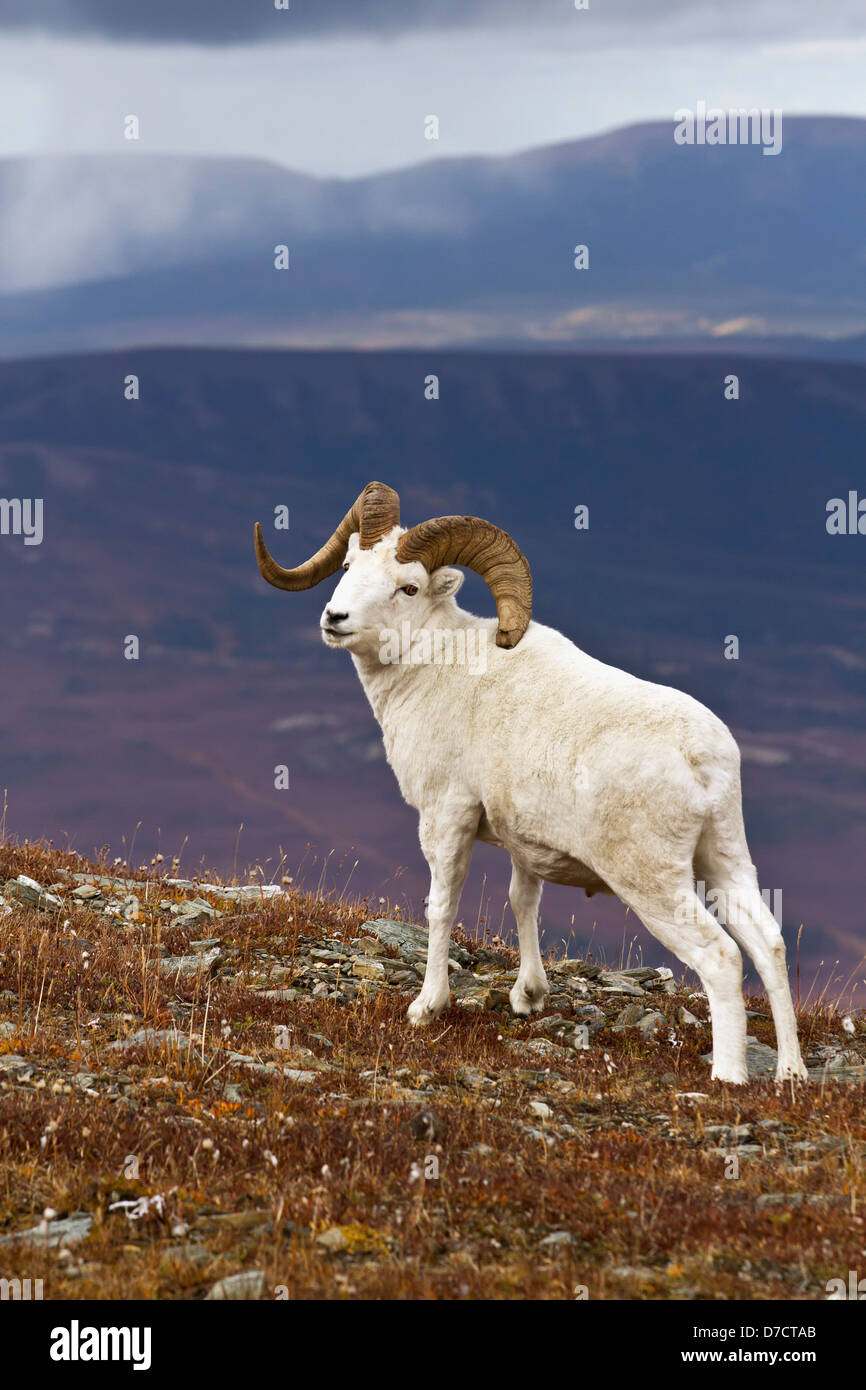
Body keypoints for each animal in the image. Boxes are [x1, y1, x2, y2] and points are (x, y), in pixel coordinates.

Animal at [255, 482, 808, 1085]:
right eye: (350, 566)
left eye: (408, 587)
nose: (336, 617)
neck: (432, 670)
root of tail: (700, 758)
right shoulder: (523, 842)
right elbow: (524, 901)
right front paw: (529, 997)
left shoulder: (446, 816)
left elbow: (441, 906)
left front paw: (427, 1008)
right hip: (723, 859)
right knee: (768, 944)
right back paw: (791, 1075)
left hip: (653, 882)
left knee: (721, 958)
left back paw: (728, 1078)